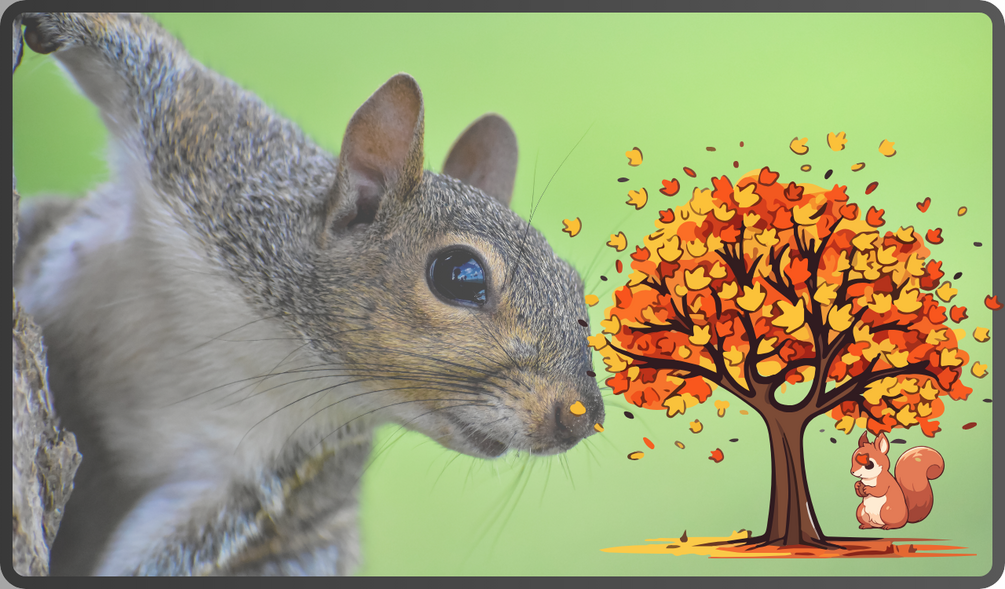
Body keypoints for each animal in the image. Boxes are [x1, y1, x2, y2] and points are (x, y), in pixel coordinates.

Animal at [14, 13, 604, 575]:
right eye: (461, 275)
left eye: (576, 287)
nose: (583, 417)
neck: (283, 345)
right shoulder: (210, 144)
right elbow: (149, 56)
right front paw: (58, 25)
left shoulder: (260, 479)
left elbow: (182, 548)